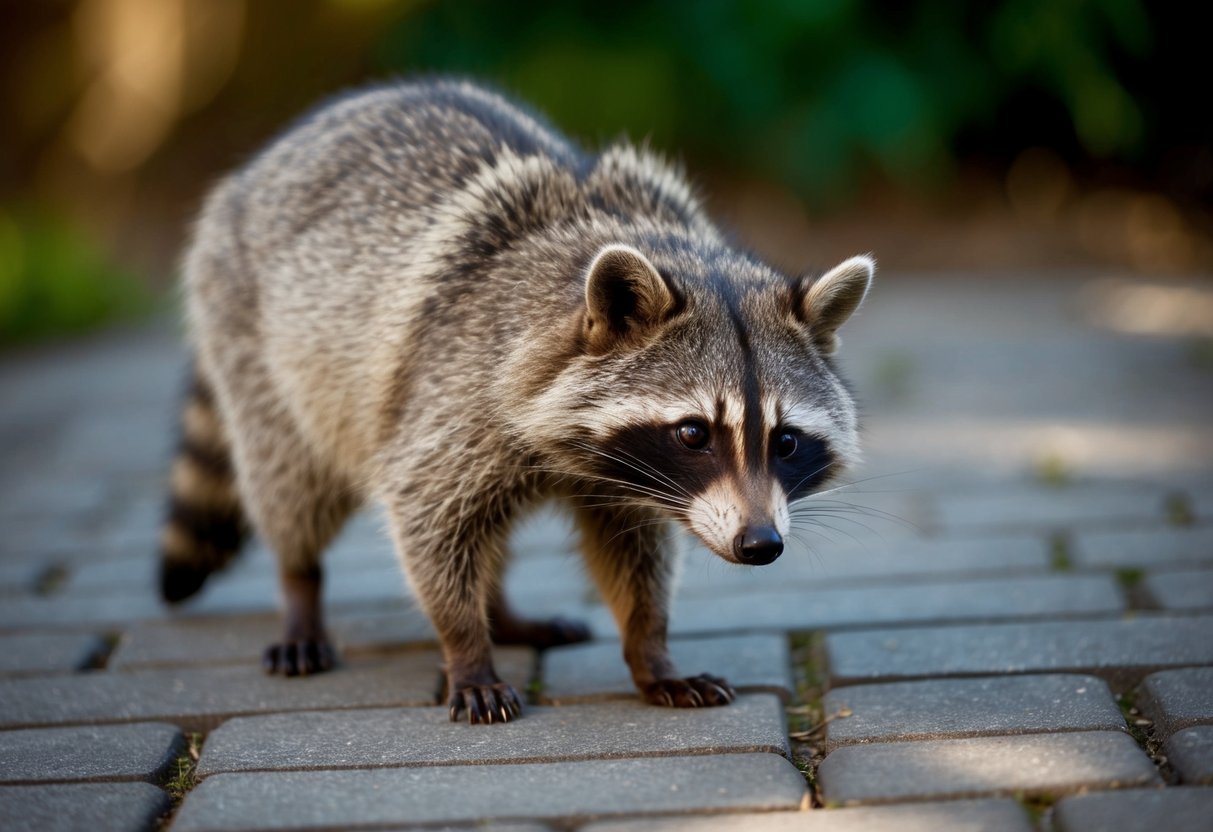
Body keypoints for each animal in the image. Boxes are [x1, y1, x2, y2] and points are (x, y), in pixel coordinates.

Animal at [160, 79, 873, 724]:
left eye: (786, 440)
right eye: (695, 433)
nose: (761, 544)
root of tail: (259, 165)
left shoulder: (628, 480)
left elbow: (634, 551)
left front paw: (649, 647)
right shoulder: (455, 386)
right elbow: (427, 516)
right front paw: (464, 645)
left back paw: (501, 611)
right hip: (254, 338)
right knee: (292, 479)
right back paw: (302, 588)